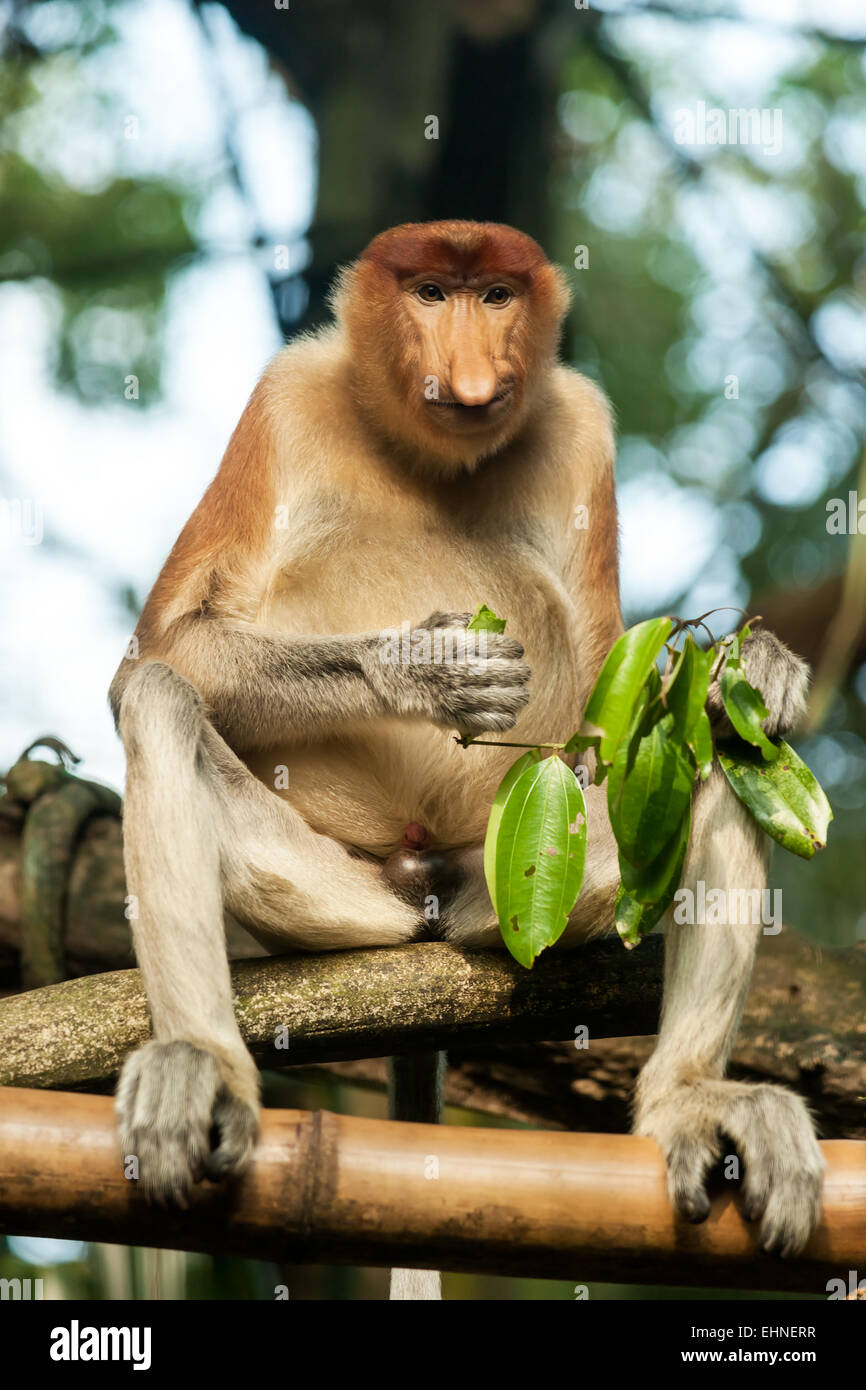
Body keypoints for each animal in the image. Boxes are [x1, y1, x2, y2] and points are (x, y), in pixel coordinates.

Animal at [109, 220, 824, 1299]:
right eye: (430, 292)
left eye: (496, 296)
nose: (474, 371)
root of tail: (426, 886)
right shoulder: (285, 395)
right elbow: (161, 652)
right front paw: (426, 670)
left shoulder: (580, 424)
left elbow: (620, 698)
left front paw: (742, 673)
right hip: (333, 897)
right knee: (161, 699)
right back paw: (200, 1063)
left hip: (524, 894)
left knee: (729, 754)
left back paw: (687, 1098)